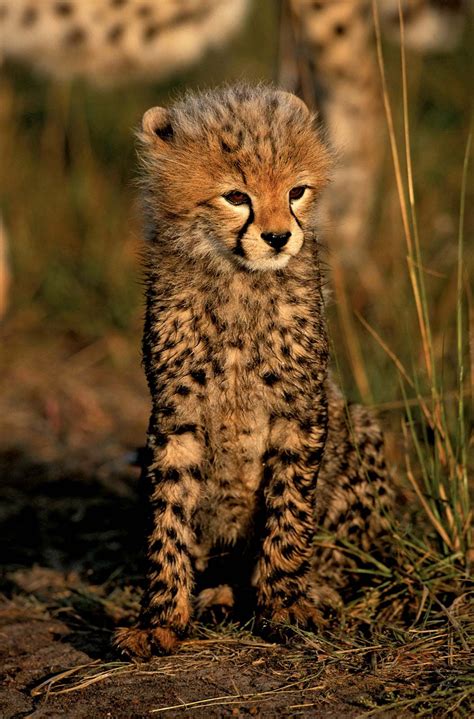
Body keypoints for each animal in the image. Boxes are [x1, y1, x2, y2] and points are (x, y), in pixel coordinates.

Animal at [113, 83, 394, 659]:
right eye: (236, 197)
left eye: (296, 191)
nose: (278, 238)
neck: (239, 281)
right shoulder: (174, 419)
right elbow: (168, 521)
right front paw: (161, 618)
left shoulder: (300, 410)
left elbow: (288, 512)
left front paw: (285, 603)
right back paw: (220, 592)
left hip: (362, 431)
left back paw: (312, 590)